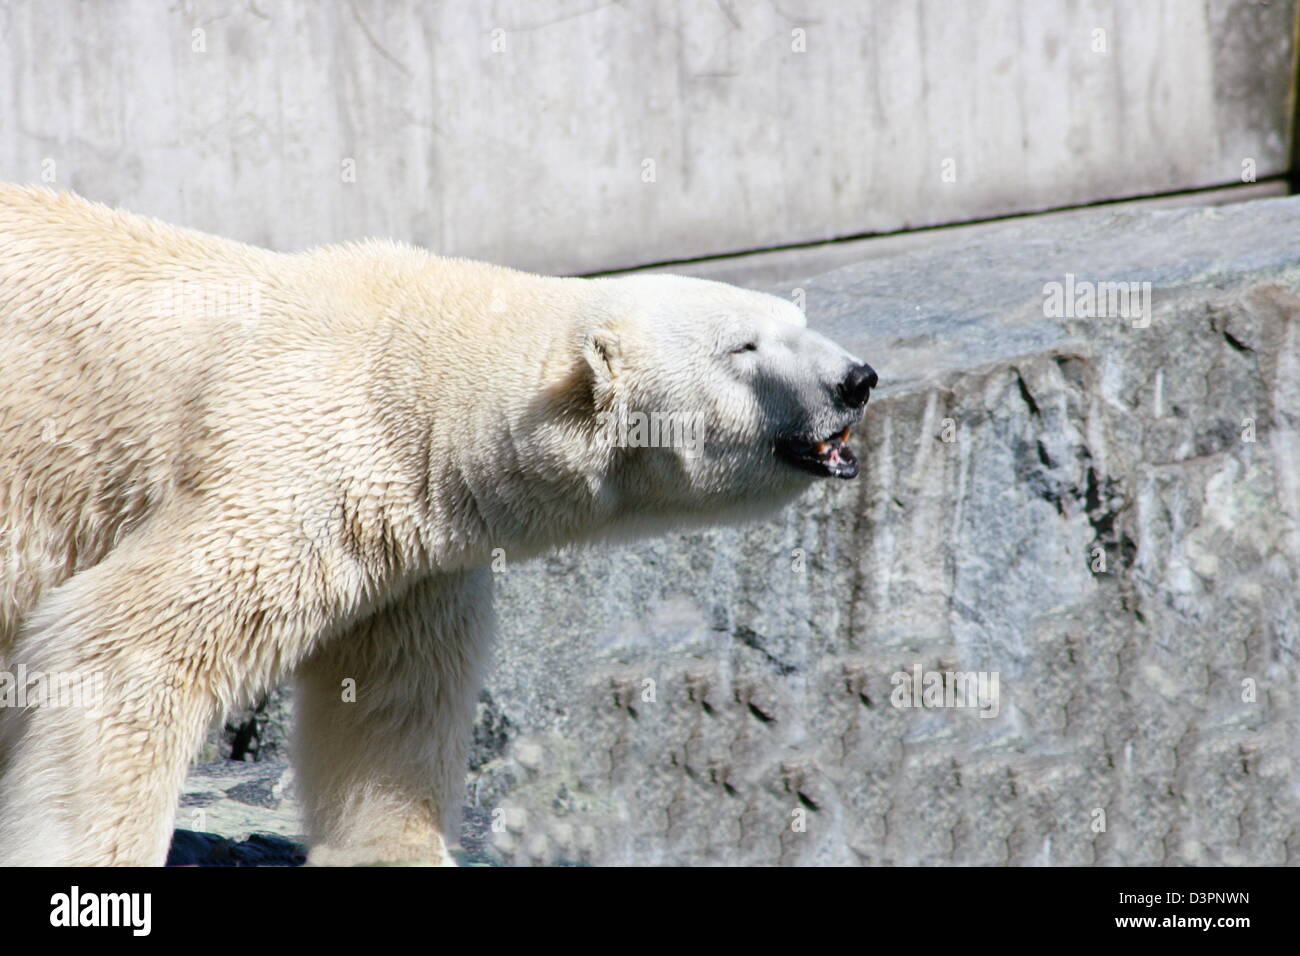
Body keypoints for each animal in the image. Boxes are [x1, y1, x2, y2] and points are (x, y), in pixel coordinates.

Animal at [0, 185, 876, 865]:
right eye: (744, 347)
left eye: (795, 318)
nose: (858, 378)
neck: (409, 390)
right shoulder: (281, 467)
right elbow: (124, 647)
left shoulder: (411, 551)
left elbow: (392, 698)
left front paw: (398, 848)